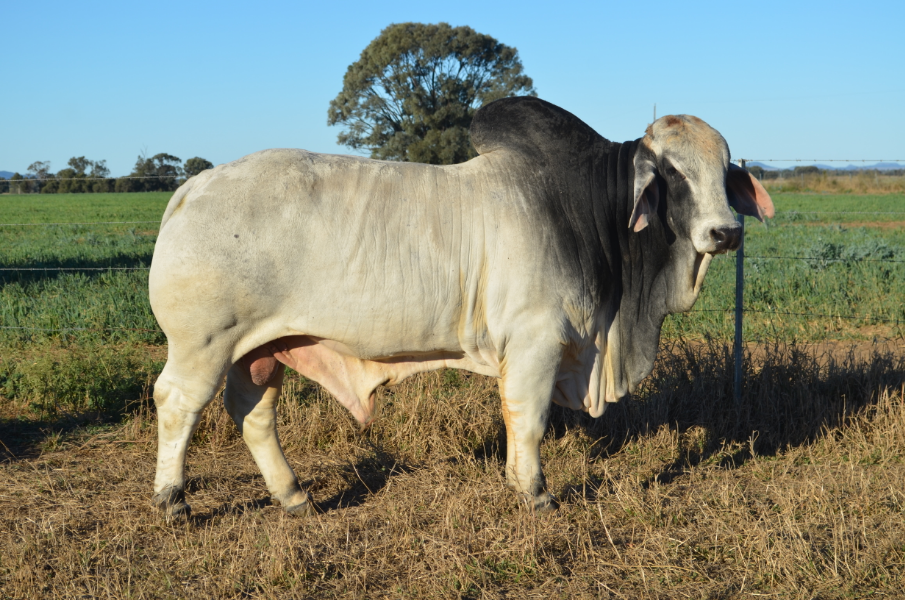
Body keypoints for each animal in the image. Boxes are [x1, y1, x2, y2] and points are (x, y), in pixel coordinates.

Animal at [148, 97, 773, 519]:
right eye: (672, 172)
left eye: (725, 170)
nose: (726, 232)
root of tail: (193, 186)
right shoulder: (537, 340)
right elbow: (529, 419)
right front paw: (535, 493)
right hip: (204, 344)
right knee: (177, 403)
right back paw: (173, 501)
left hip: (260, 348)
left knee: (252, 411)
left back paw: (294, 496)